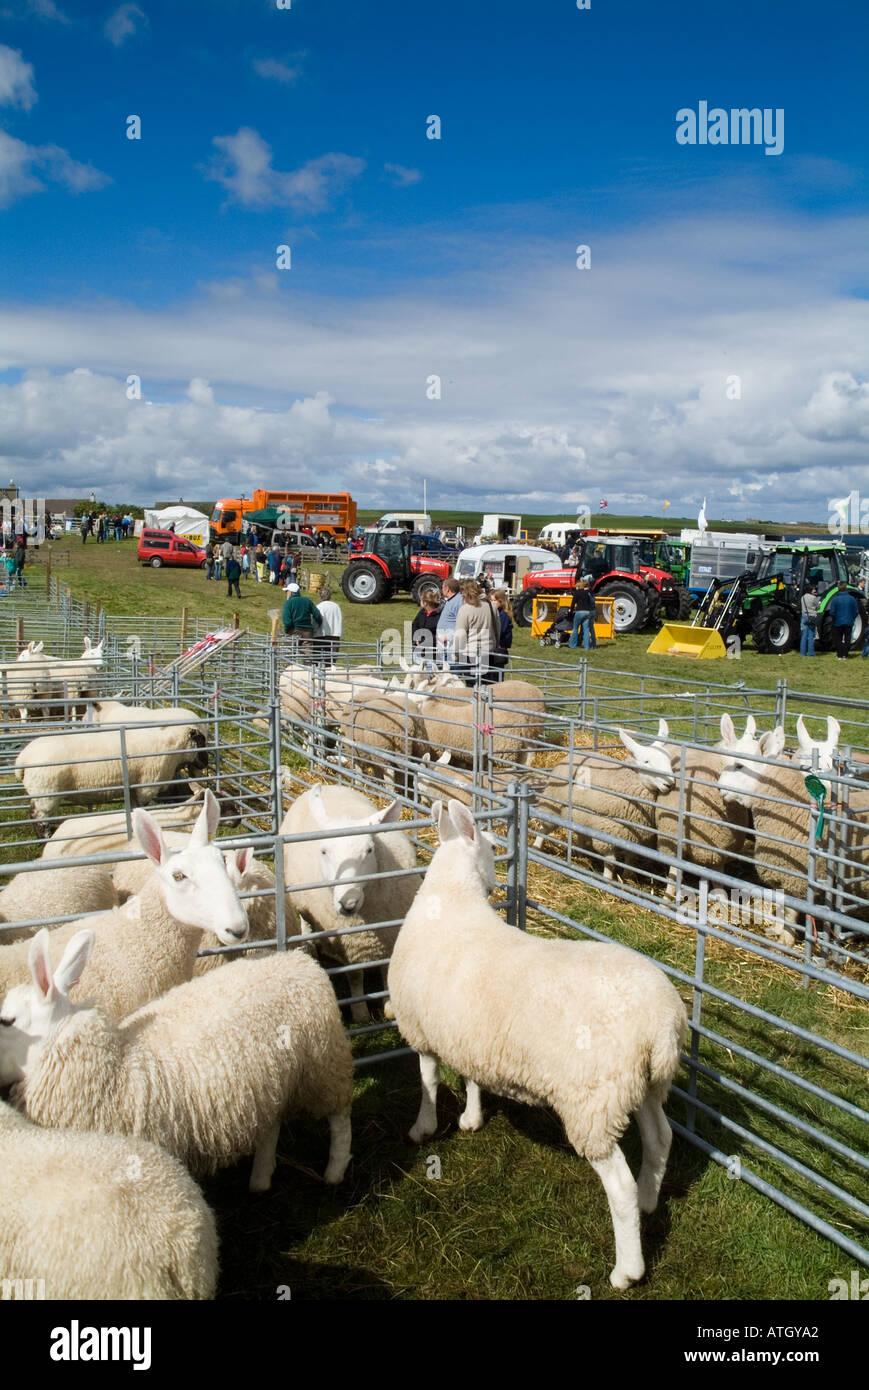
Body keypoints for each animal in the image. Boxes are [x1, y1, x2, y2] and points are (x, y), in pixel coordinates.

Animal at [0, 926, 354, 1192]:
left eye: (7, 1020)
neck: (113, 1066)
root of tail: (299, 960)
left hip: (324, 1066)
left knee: (339, 1119)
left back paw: (334, 1171)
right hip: (272, 1082)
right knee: (271, 1125)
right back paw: (260, 1178)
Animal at [14, 719, 209, 835]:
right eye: (201, 741)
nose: (205, 763)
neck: (172, 748)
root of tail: (23, 759)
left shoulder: (134, 787)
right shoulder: (146, 786)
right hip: (46, 793)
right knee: (38, 817)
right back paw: (45, 837)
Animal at [281, 782, 421, 1022]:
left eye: (369, 850)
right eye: (324, 851)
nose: (348, 903)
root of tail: (328, 785)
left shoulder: (389, 933)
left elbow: (386, 969)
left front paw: (389, 1006)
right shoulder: (349, 944)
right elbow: (355, 976)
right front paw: (360, 1012)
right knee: (304, 919)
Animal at [388, 798, 687, 1291]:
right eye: (493, 847)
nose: (496, 878)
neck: (454, 900)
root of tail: (661, 1024)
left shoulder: (422, 1028)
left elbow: (428, 1079)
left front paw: (423, 1127)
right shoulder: (466, 1033)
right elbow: (470, 1077)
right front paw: (471, 1118)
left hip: (592, 1103)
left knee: (619, 1186)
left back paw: (627, 1268)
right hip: (639, 1086)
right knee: (660, 1139)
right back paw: (649, 1202)